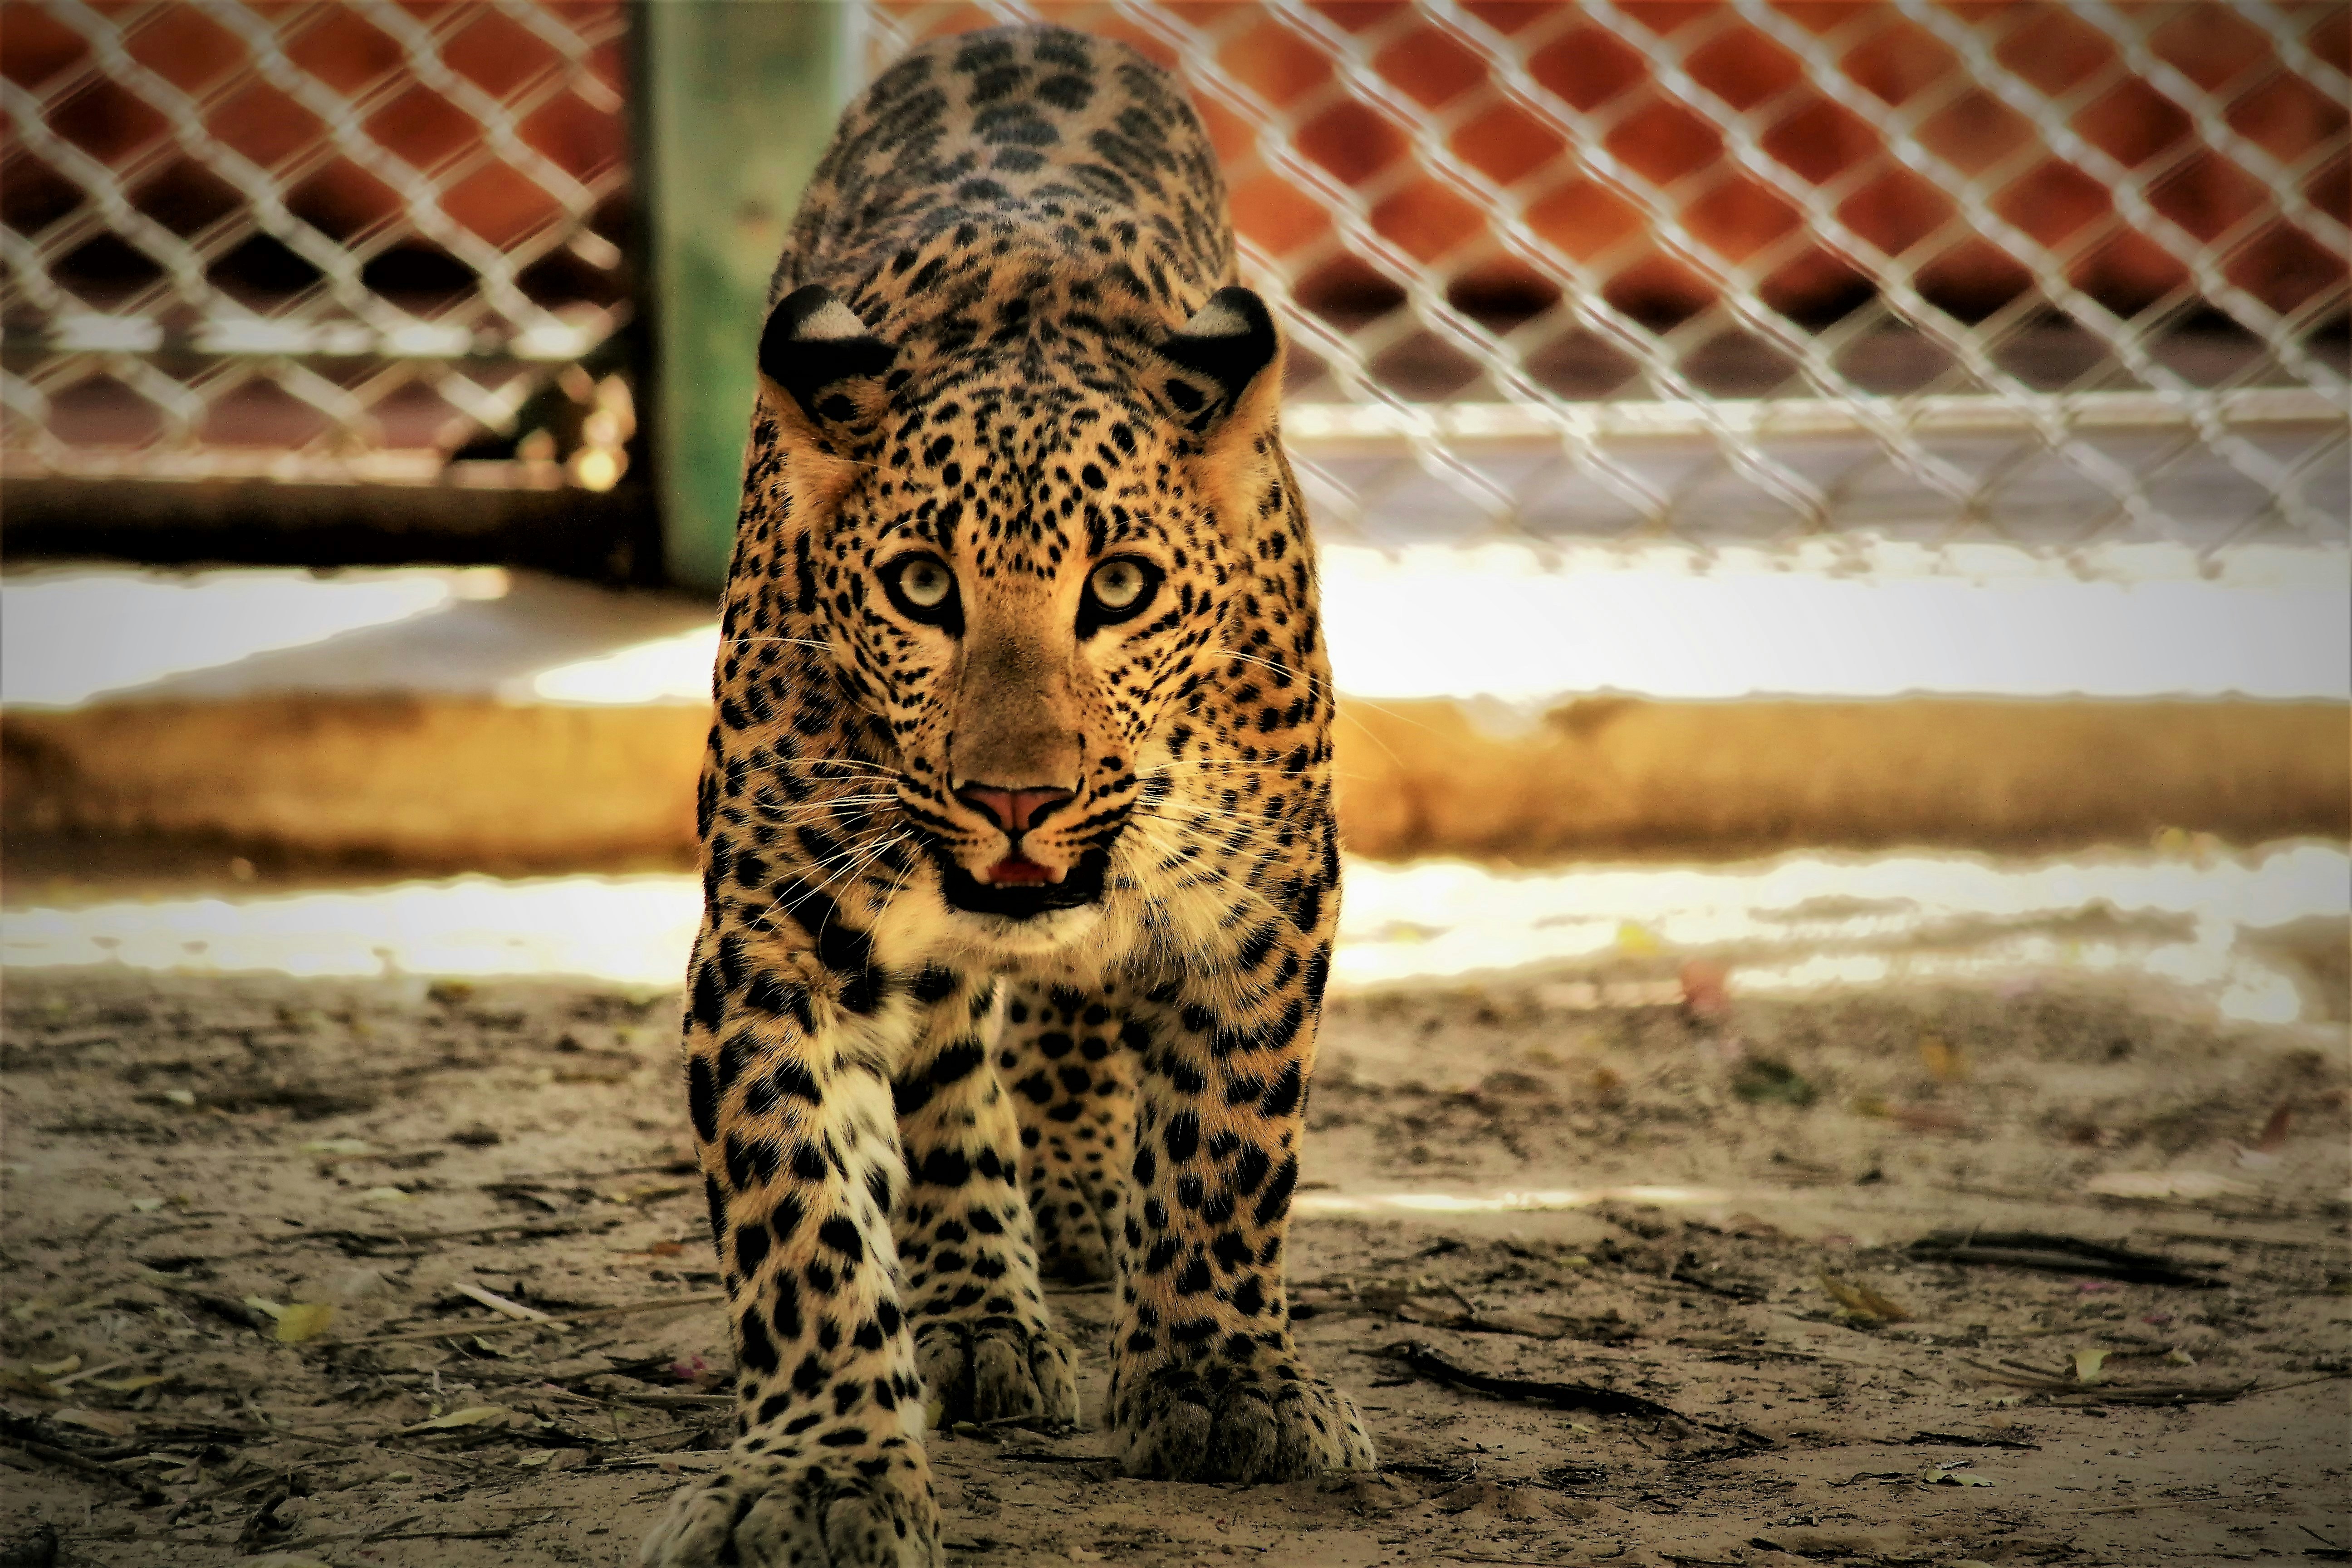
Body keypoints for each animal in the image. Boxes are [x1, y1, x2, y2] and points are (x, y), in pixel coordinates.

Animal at [639, 23, 1373, 1568]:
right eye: (923, 586)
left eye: (1122, 588)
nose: (1017, 799)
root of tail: (1024, 30)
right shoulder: (774, 933)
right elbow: (803, 1214)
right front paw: (825, 1474)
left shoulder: (1269, 891)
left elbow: (1229, 1141)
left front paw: (1224, 1386)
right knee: (952, 1074)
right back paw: (982, 1307)